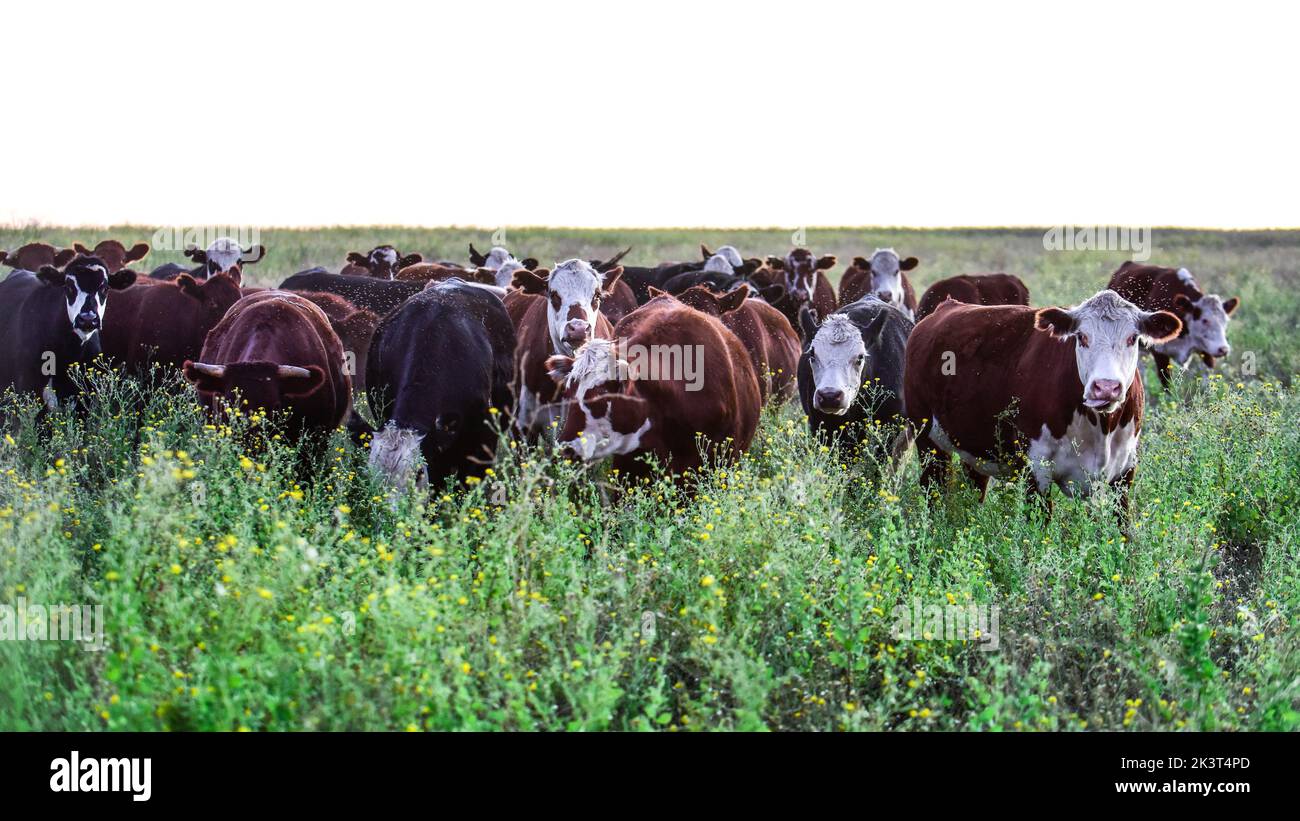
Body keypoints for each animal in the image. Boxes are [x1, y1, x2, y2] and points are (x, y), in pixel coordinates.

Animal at [904, 290, 1182, 509]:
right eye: (1082, 337)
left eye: (1132, 338)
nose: (1105, 388)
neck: (1100, 427)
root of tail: (945, 307)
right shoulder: (1035, 471)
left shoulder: (1124, 472)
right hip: (927, 439)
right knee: (933, 488)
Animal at [1107, 262, 1240, 391]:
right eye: (1204, 320)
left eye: (1225, 321)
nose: (1223, 349)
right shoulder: (1159, 352)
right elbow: (1167, 384)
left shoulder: (1206, 350)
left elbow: (1208, 382)